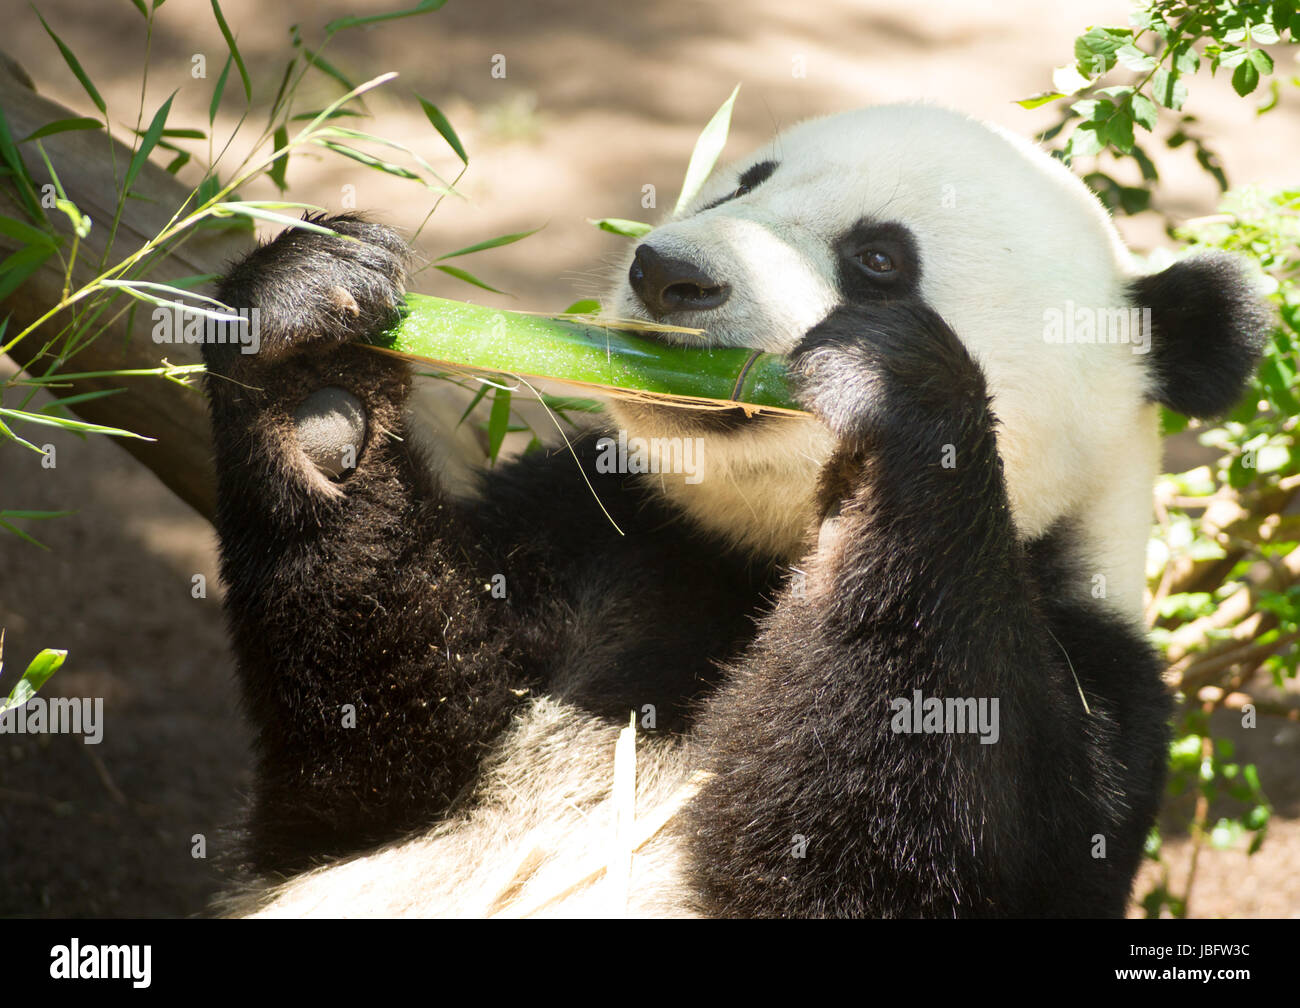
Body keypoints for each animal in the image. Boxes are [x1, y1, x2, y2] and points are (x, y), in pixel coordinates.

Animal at [203, 103, 1268, 918]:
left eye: (879, 257)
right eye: (739, 185)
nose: (668, 272)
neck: (747, 557)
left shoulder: (1092, 702)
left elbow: (872, 856)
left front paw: (893, 396)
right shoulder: (590, 528)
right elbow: (368, 778)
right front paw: (313, 359)